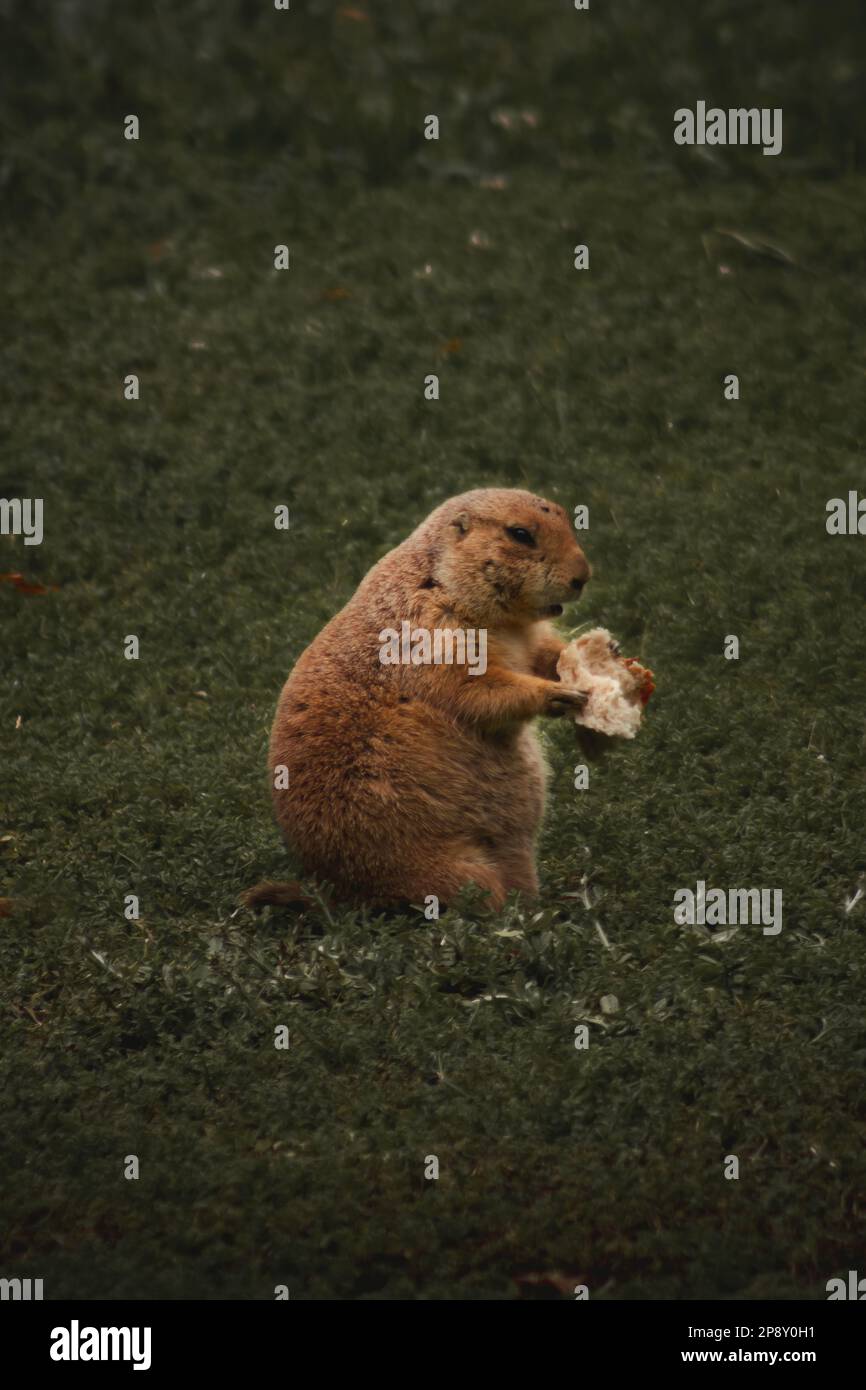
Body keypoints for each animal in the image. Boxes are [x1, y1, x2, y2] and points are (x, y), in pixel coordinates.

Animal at [245, 488, 591, 912]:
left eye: (565, 515)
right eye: (520, 534)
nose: (583, 577)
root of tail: (333, 893)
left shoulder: (525, 635)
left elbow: (544, 652)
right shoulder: (431, 630)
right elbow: (476, 688)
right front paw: (556, 694)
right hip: (445, 871)